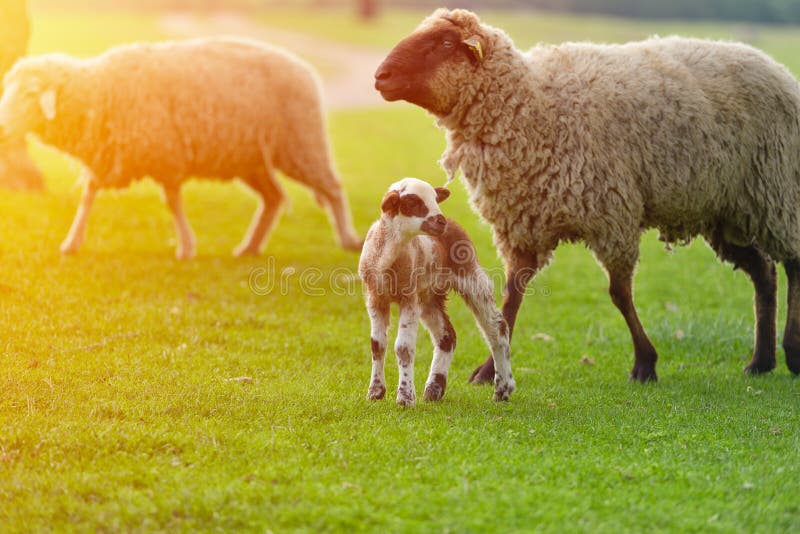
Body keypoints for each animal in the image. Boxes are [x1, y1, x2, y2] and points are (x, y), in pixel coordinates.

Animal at [0, 37, 362, 258]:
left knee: (332, 187)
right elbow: (88, 196)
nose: (2, 130)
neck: (99, 92)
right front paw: (72, 242)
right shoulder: (109, 158)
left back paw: (348, 238)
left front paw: (186, 247)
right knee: (273, 199)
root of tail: (304, 67)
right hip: (252, 159)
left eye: (30, 95)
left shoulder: (165, 154)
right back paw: (249, 246)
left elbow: (172, 202)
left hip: (303, 143)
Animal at [358, 177, 514, 406]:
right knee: (447, 336)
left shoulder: (409, 298)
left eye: (434, 198)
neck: (388, 256)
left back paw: (503, 390)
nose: (441, 221)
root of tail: (454, 223)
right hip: (429, 296)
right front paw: (375, 392)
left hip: (472, 277)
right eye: (412, 202)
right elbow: (377, 345)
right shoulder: (375, 298)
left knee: (498, 330)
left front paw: (405, 398)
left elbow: (403, 347)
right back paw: (434, 389)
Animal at [374, 8, 800, 383]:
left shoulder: (613, 215)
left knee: (792, 262)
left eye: (445, 42)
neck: (532, 107)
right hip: (726, 210)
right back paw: (760, 361)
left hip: (775, 191)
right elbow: (512, 295)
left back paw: (790, 352)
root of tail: (776, 68)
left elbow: (619, 294)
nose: (380, 76)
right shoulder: (523, 223)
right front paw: (490, 369)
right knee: (764, 272)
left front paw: (645, 364)